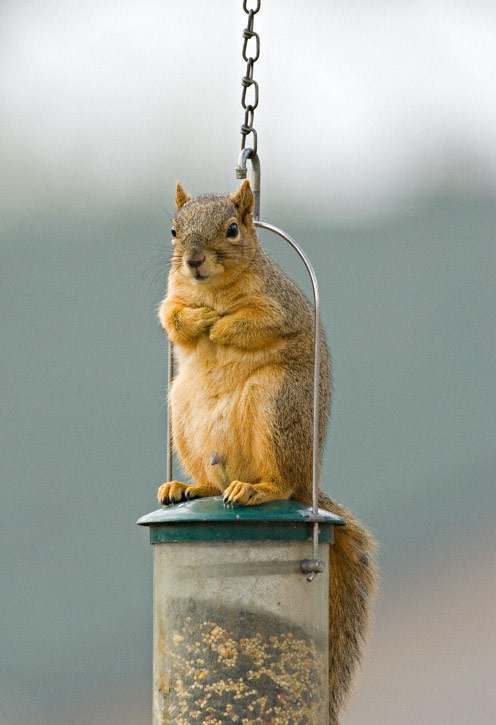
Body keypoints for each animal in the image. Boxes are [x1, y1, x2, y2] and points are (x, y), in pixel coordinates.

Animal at [157, 179, 377, 724]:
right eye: (173, 230)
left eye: (233, 229)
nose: (193, 260)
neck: (212, 290)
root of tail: (308, 478)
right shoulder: (171, 297)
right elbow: (171, 318)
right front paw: (196, 322)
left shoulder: (279, 305)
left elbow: (255, 322)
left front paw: (219, 326)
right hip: (182, 411)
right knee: (207, 479)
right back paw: (185, 485)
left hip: (277, 404)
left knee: (276, 480)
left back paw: (255, 490)